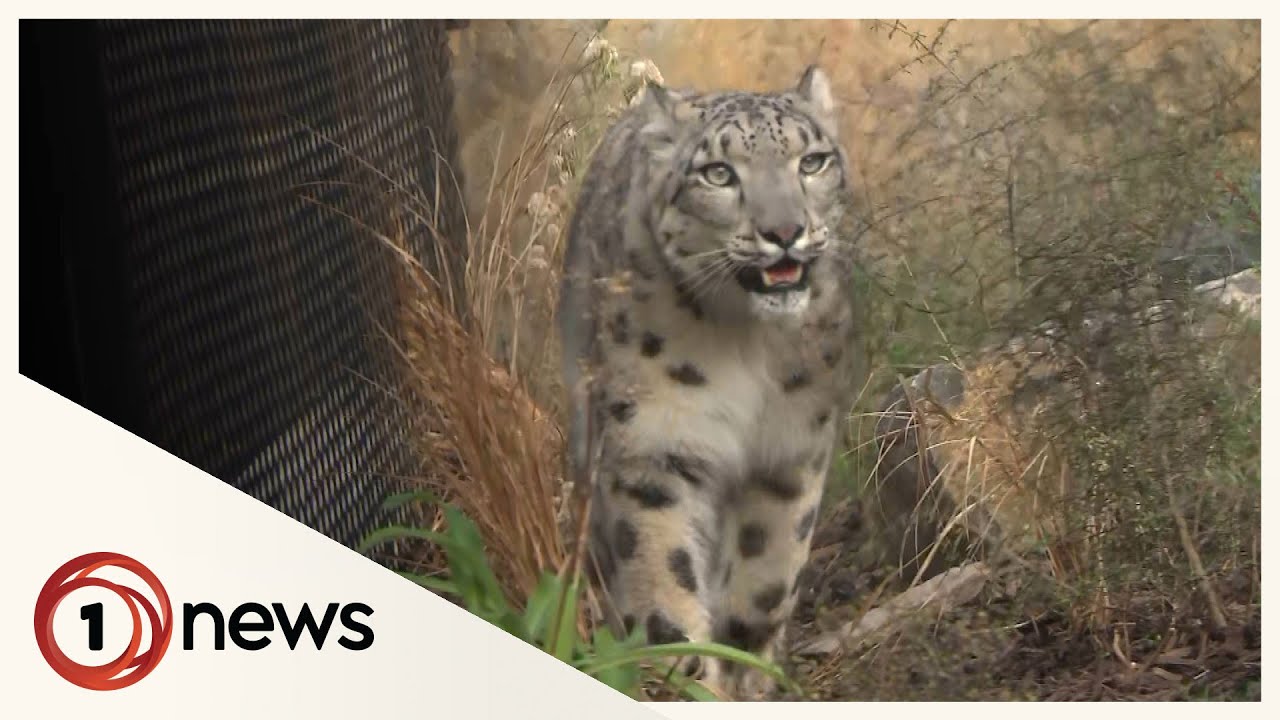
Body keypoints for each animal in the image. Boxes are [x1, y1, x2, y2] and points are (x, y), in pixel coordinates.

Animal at [557, 65, 859, 700]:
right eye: (718, 173)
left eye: (812, 161)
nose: (785, 231)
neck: (747, 343)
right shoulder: (651, 449)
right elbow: (662, 580)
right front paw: (687, 677)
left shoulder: (792, 449)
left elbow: (767, 577)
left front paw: (744, 666)